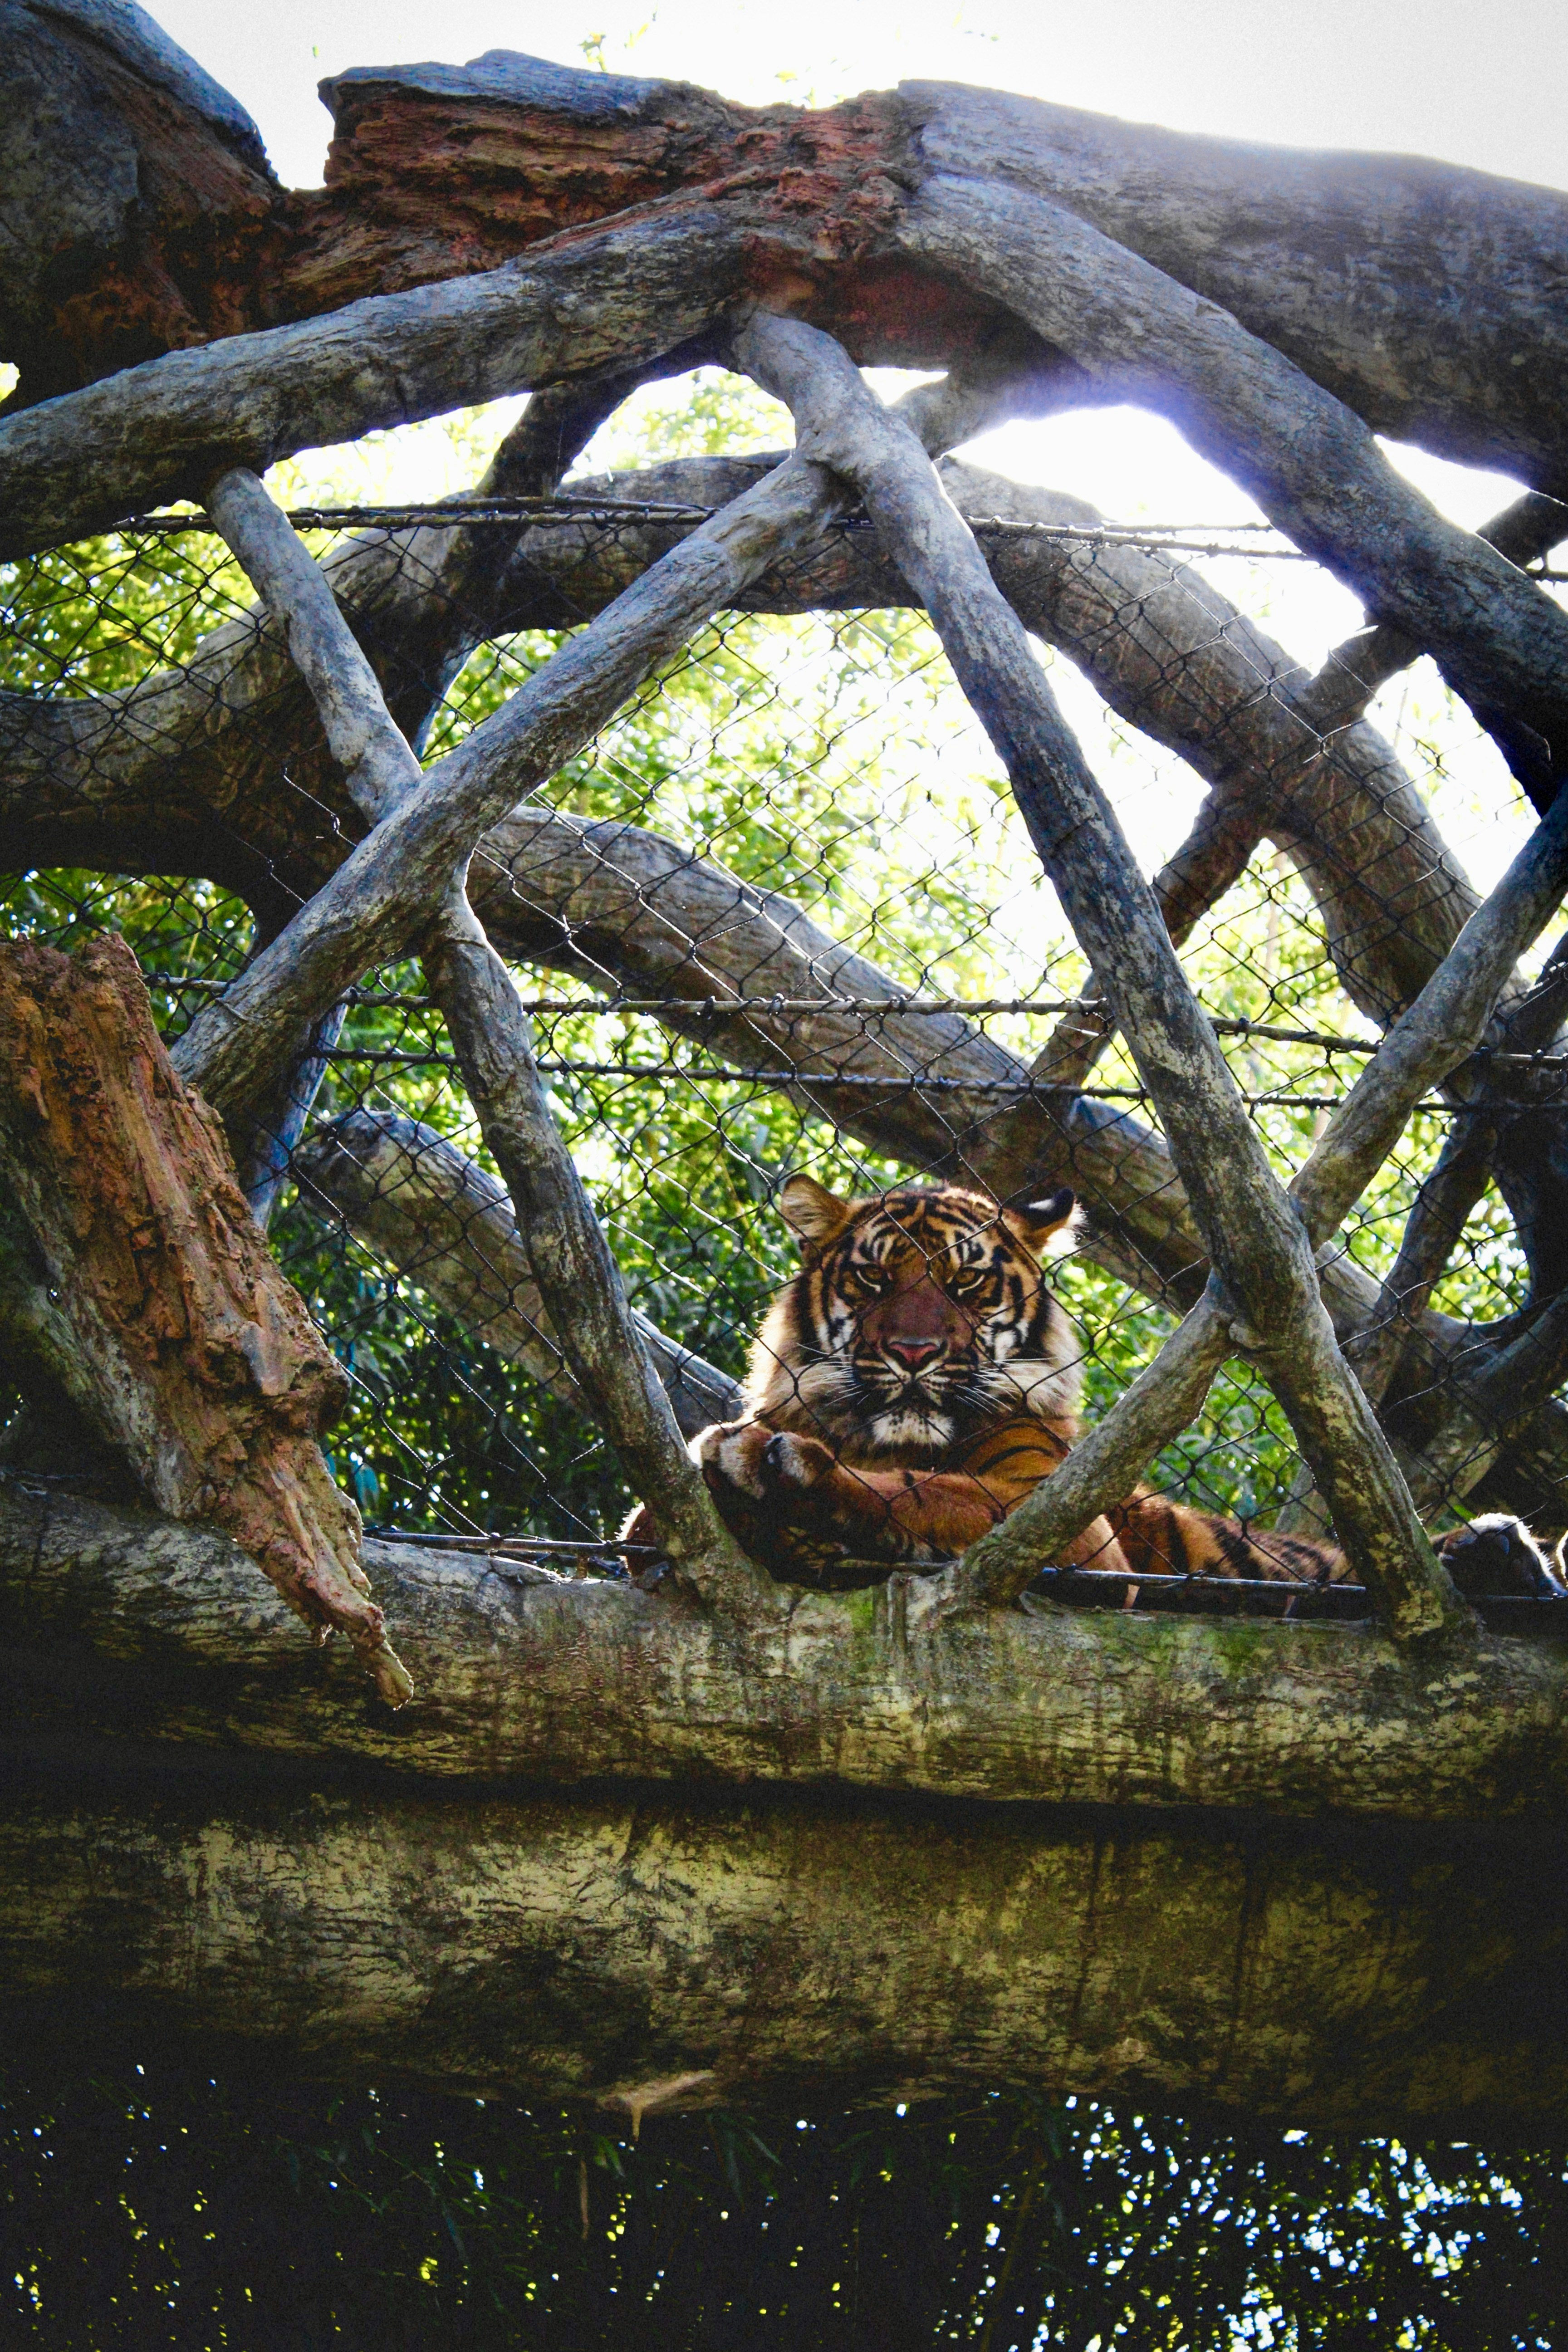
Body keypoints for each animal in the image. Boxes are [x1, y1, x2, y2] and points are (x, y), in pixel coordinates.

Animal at [633, 1173, 1562, 1600]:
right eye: (873, 1278)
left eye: (966, 1284)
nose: (913, 1351)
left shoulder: (1063, 1520)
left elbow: (928, 1491)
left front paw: (776, 1468)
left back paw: (1500, 1553)